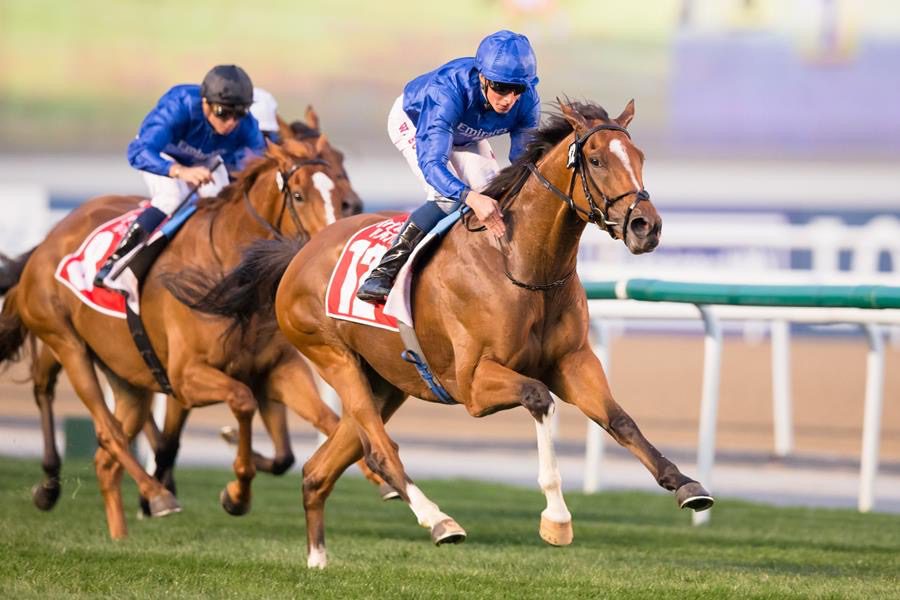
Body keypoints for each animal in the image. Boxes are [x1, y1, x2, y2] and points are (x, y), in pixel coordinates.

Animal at [0, 129, 372, 539]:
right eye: (300, 194)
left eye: (340, 190)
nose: (331, 247)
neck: (231, 274)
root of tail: (48, 242)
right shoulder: (185, 377)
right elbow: (241, 402)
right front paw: (236, 494)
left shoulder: (276, 369)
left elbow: (325, 422)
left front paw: (376, 472)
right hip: (67, 344)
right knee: (97, 424)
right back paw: (149, 494)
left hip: (127, 376)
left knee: (105, 456)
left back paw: (119, 532)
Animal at [178, 100, 714, 568]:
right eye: (598, 159)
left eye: (640, 157)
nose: (646, 226)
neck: (521, 263)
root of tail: (301, 251)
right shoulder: (474, 383)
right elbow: (540, 399)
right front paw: (557, 517)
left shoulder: (574, 362)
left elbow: (619, 419)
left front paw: (687, 485)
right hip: (333, 356)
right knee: (381, 448)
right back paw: (438, 520)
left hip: (386, 383)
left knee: (318, 471)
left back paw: (316, 559)